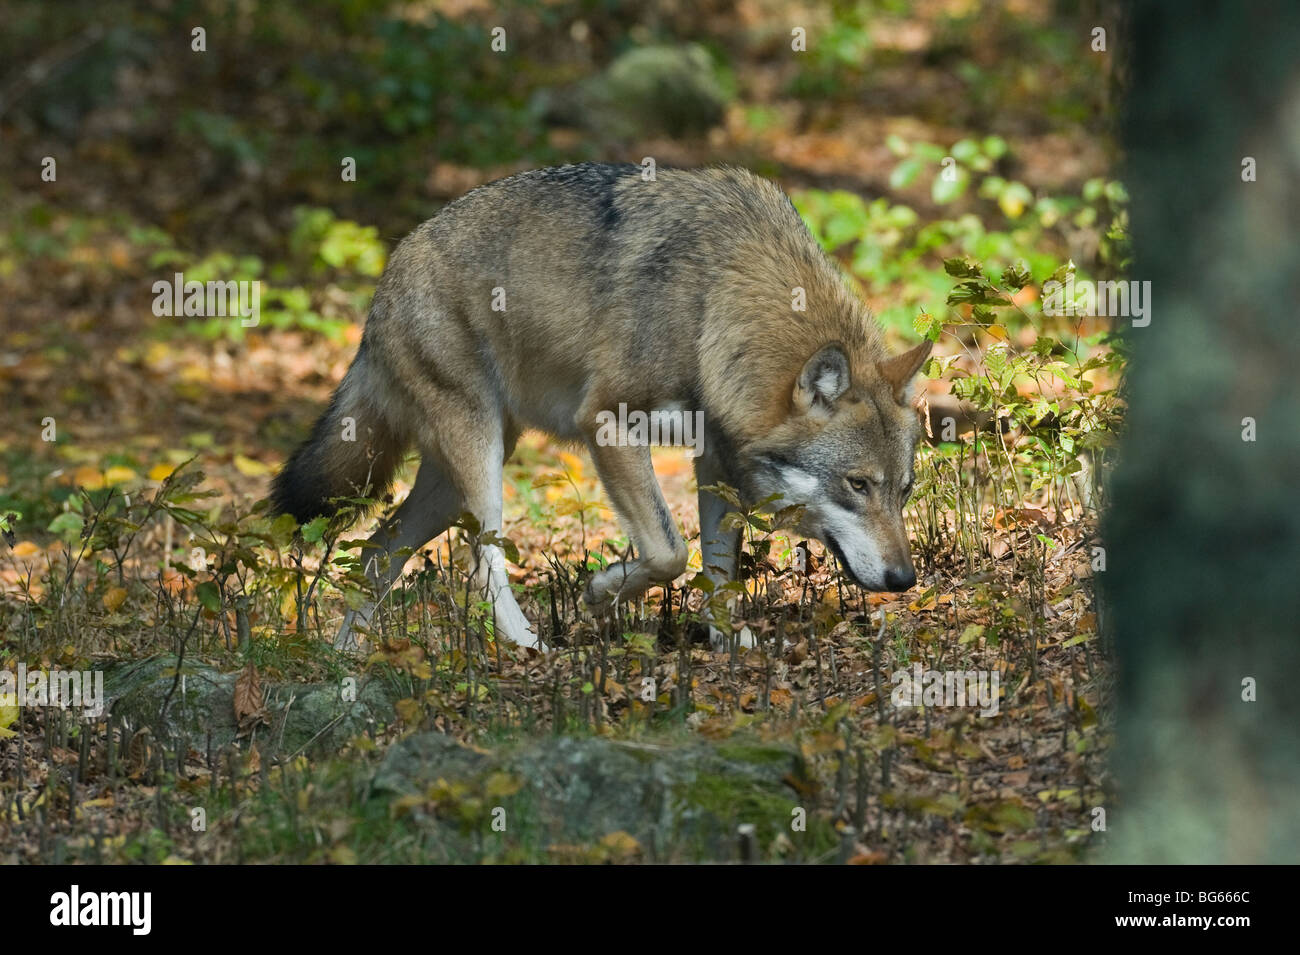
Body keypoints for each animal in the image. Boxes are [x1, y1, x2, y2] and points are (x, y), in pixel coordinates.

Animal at [270, 163, 931, 651]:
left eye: (903, 490)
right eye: (857, 485)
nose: (904, 580)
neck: (715, 309)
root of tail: (388, 272)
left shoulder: (716, 461)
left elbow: (719, 571)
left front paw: (726, 642)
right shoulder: (609, 424)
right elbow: (670, 552)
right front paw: (600, 593)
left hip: (453, 480)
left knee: (376, 553)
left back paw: (345, 662)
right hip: (482, 460)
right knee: (481, 559)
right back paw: (524, 643)